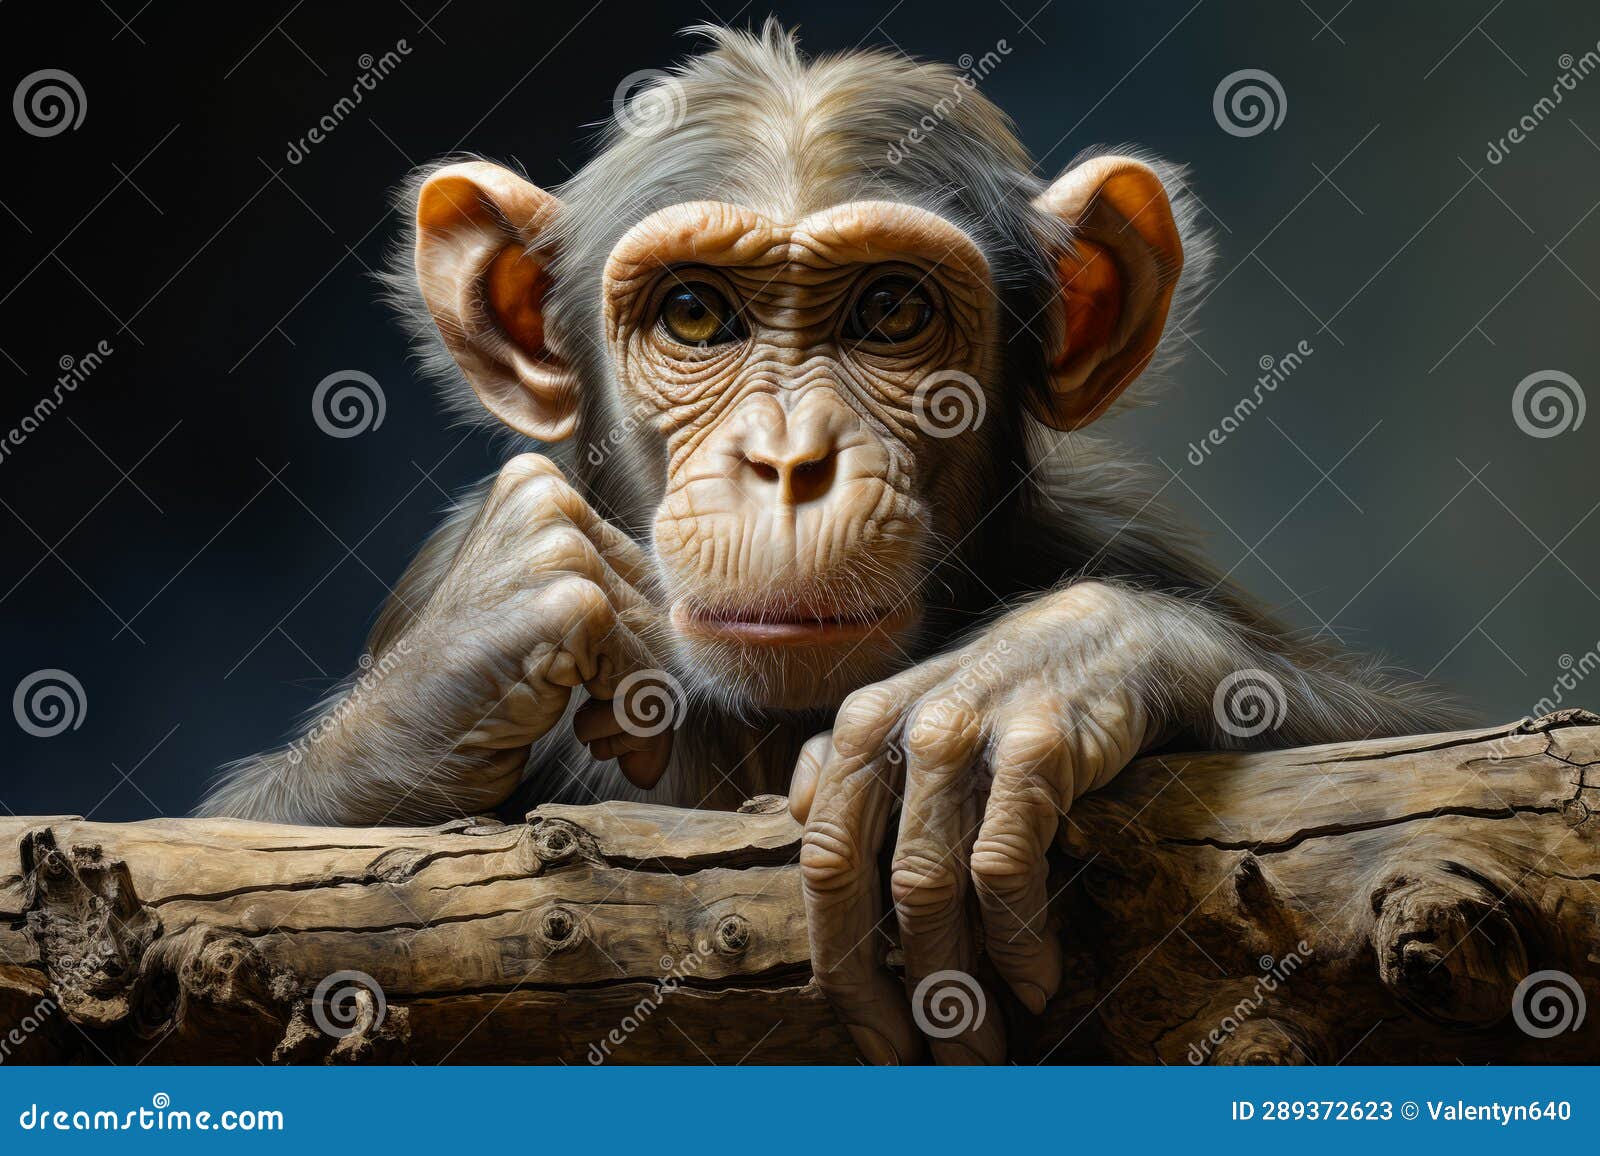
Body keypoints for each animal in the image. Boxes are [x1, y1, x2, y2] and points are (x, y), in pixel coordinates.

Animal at [199, 22, 1457, 1064]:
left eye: (891, 312)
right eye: (695, 313)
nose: (790, 457)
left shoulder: (1123, 537)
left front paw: (1036, 672)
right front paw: (474, 647)